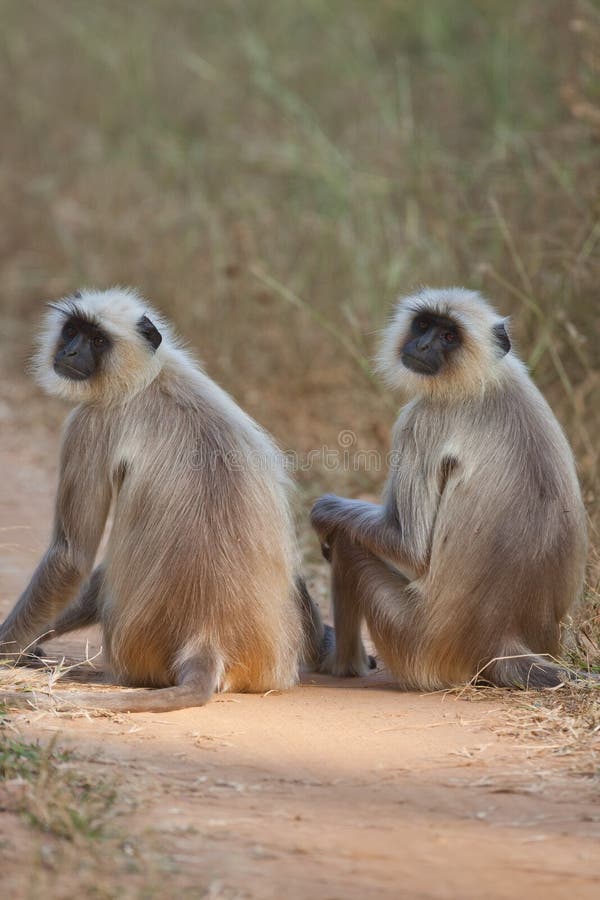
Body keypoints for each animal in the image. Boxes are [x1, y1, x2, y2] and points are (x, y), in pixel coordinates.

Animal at [0, 288, 327, 712]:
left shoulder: (89, 422)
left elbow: (70, 556)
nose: (70, 352)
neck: (148, 377)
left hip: (133, 652)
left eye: (97, 341)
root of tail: (207, 637)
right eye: (72, 330)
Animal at [311, 287, 589, 690]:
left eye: (448, 336)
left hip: (414, 641)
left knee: (349, 547)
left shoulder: (419, 420)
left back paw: (339, 663)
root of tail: (503, 643)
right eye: (424, 325)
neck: (481, 378)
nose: (424, 344)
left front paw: (324, 512)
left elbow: (408, 546)